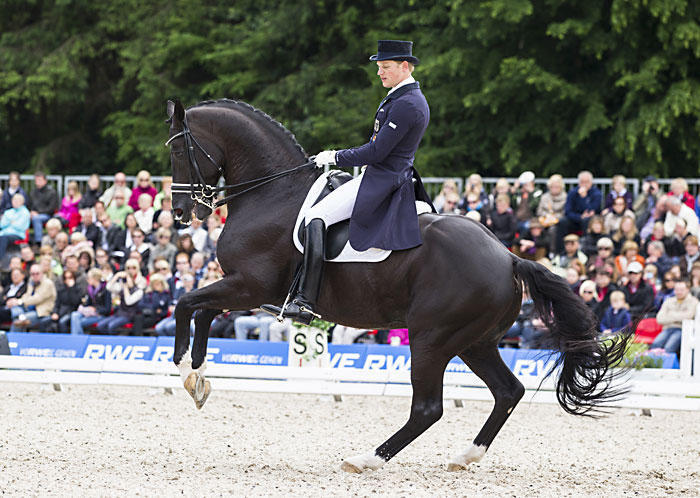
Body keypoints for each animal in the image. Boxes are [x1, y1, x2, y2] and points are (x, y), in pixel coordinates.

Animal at [164, 99, 628, 472]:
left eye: (177, 150)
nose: (181, 212)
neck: (271, 193)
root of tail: (508, 257)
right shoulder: (246, 289)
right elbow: (202, 311)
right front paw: (198, 376)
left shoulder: (250, 286)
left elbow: (187, 303)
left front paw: (182, 367)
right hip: (474, 341)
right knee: (507, 390)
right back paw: (466, 456)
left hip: (431, 338)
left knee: (428, 408)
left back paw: (366, 459)